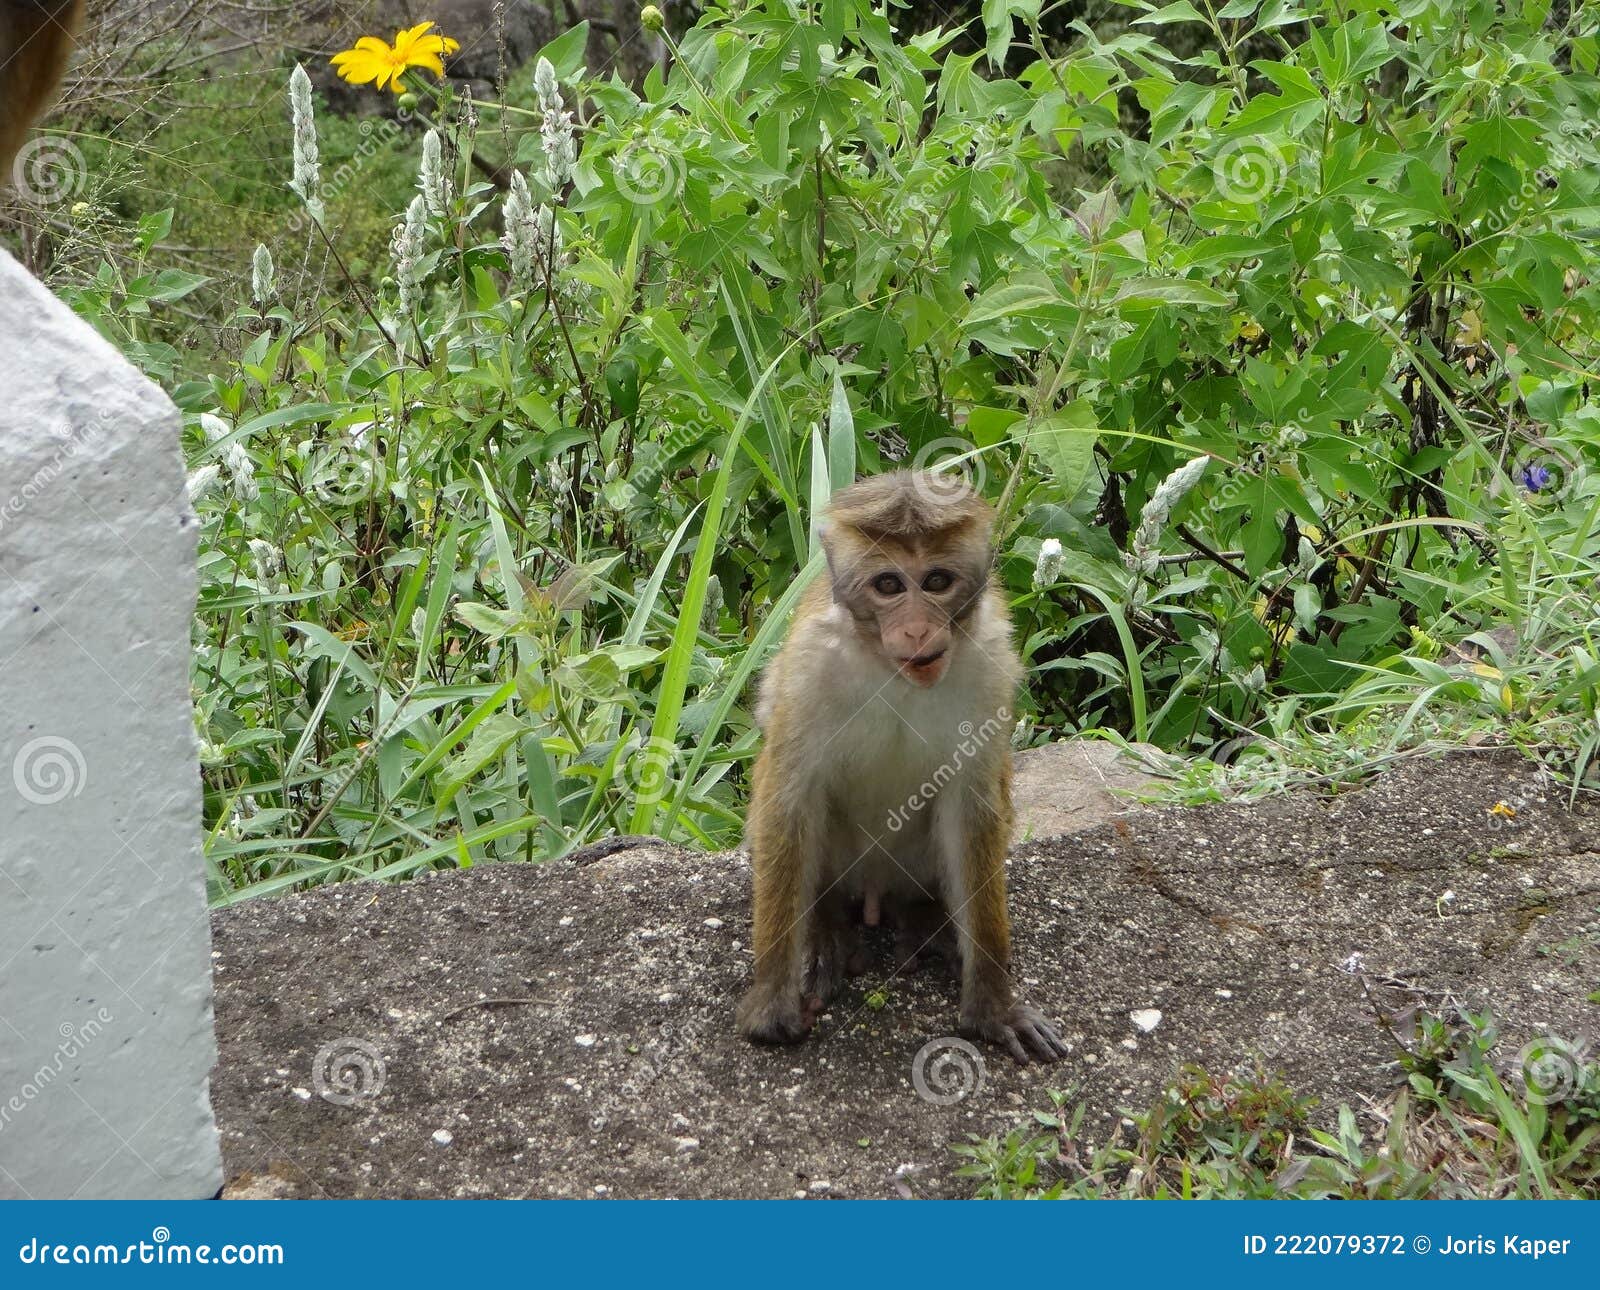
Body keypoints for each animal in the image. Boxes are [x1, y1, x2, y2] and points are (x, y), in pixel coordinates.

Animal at [736, 469, 1069, 1064]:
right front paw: (771, 999)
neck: (891, 673)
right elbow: (790, 795)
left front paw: (993, 1004)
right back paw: (826, 928)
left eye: (936, 580)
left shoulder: (991, 662)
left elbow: (972, 805)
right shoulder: (807, 667)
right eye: (889, 586)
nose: (916, 629)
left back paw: (928, 919)